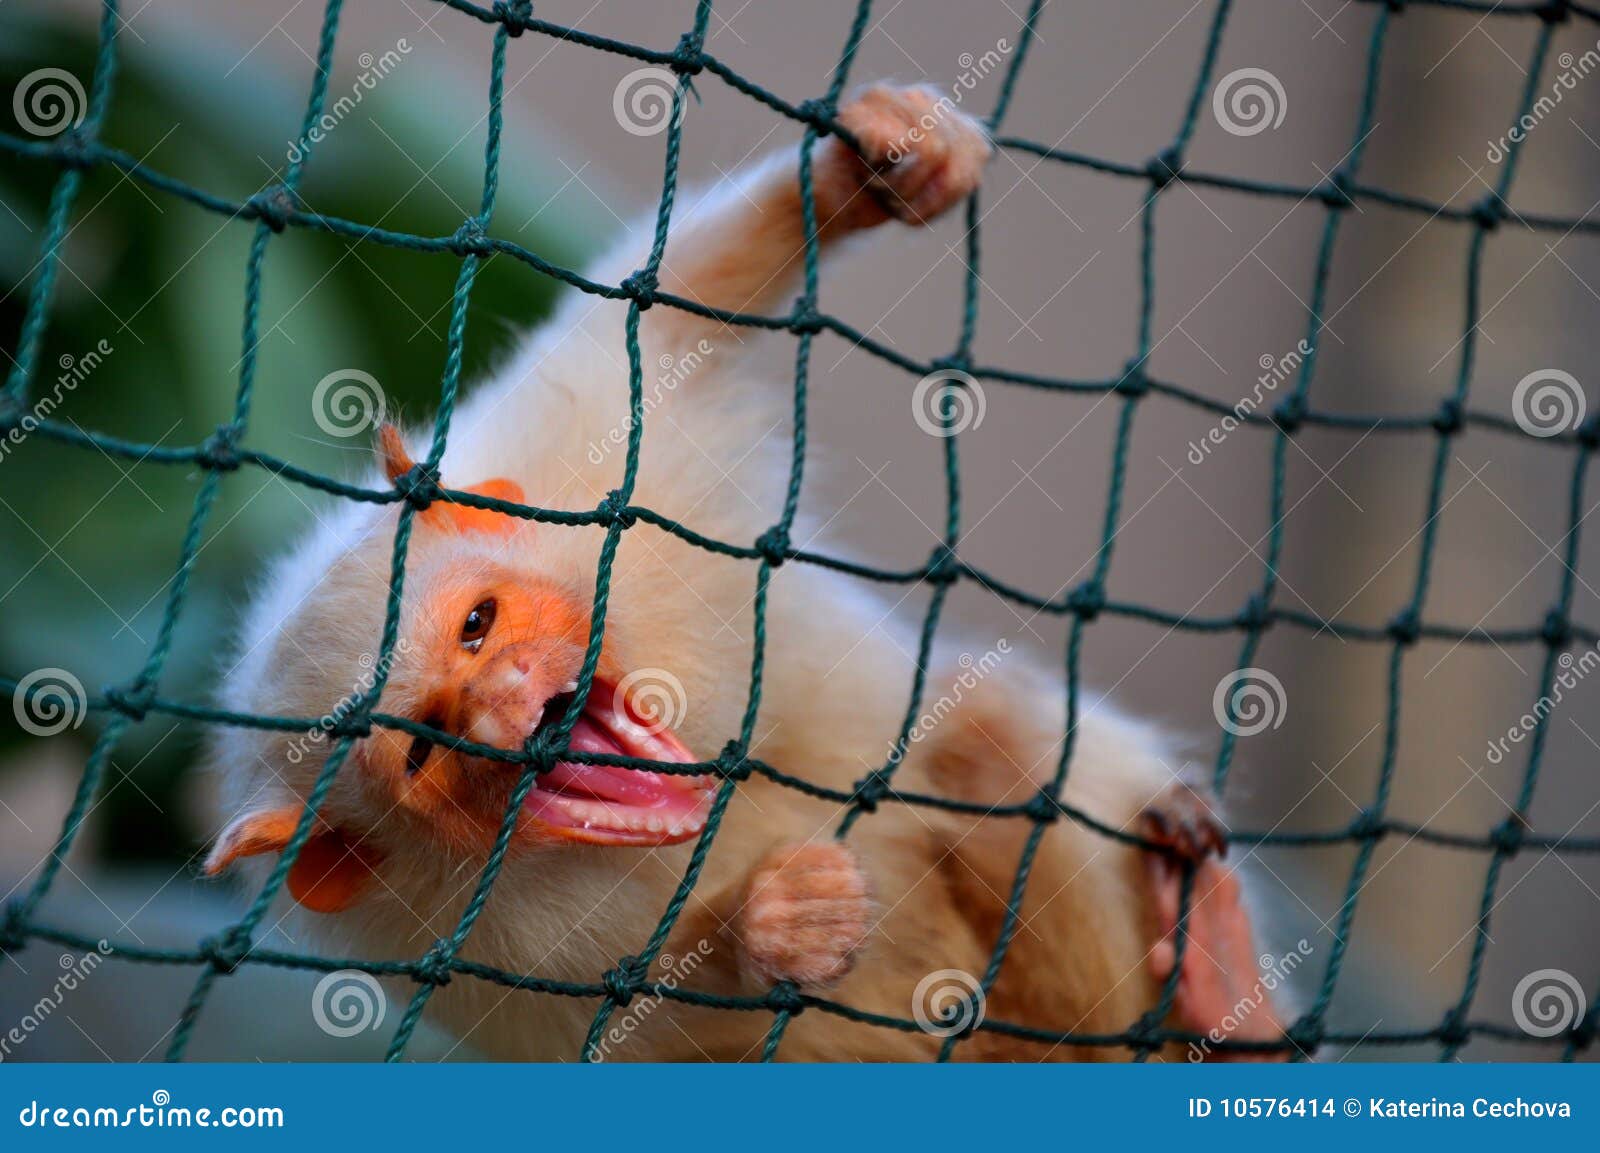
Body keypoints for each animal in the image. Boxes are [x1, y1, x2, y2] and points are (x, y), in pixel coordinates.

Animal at [204, 83, 1287, 1061]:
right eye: (427, 749)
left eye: (479, 623)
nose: (511, 698)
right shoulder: (448, 954)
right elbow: (638, 1019)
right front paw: (768, 930)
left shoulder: (576, 439)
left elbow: (681, 308)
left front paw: (871, 169)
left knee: (991, 738)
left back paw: (1219, 994)